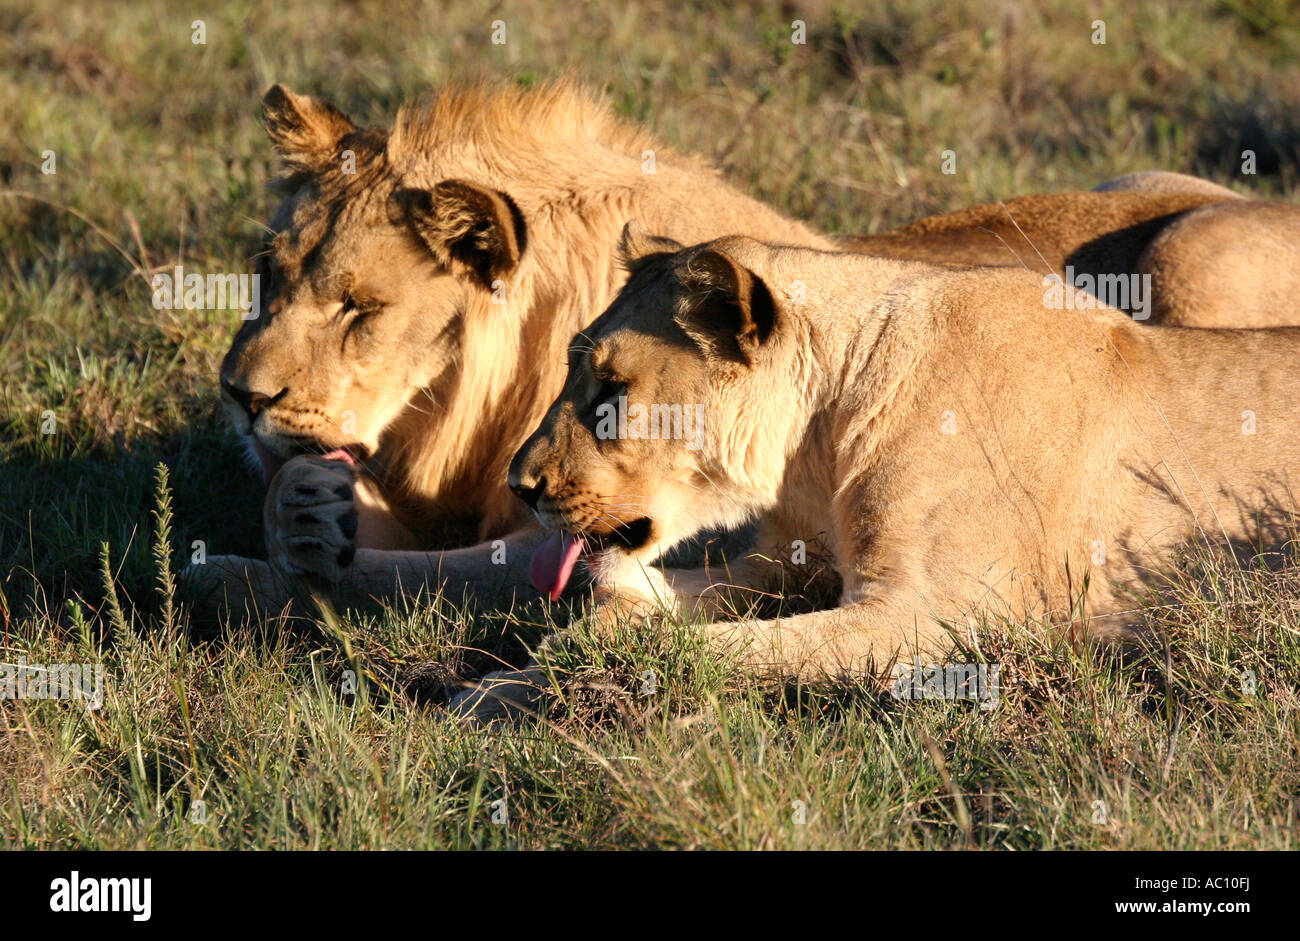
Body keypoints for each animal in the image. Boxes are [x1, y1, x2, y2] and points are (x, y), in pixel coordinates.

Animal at [204, 78, 1289, 620]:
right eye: (265, 273)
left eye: (359, 306)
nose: (239, 397)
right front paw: (303, 511)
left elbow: (475, 566)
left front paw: (245, 571)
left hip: (1190, 252)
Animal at [506, 222, 1300, 684]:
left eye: (612, 389)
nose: (521, 485)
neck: (817, 443)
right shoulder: (792, 563)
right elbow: (675, 594)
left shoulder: (940, 611)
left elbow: (732, 647)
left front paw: (574, 660)